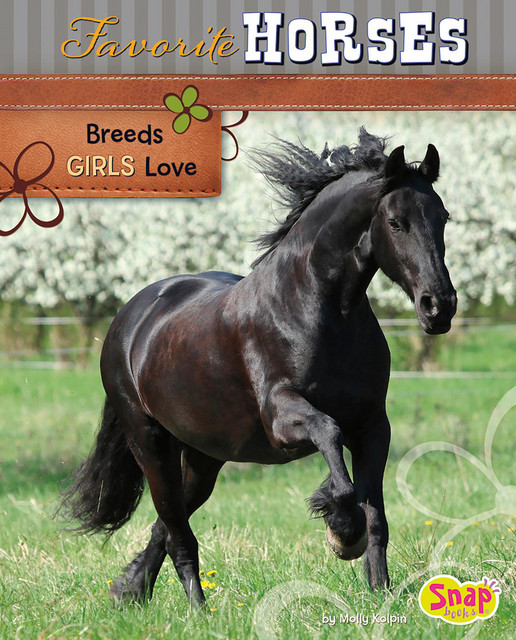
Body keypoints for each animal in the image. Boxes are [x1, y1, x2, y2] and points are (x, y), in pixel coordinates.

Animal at [60, 128, 457, 607]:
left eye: (443, 218)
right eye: (396, 222)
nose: (439, 307)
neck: (321, 309)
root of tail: (129, 319)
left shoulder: (372, 427)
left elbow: (377, 518)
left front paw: (380, 593)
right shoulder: (282, 420)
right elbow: (330, 440)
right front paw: (341, 533)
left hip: (204, 457)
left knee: (165, 526)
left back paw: (129, 591)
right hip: (149, 443)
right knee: (178, 534)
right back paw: (198, 611)